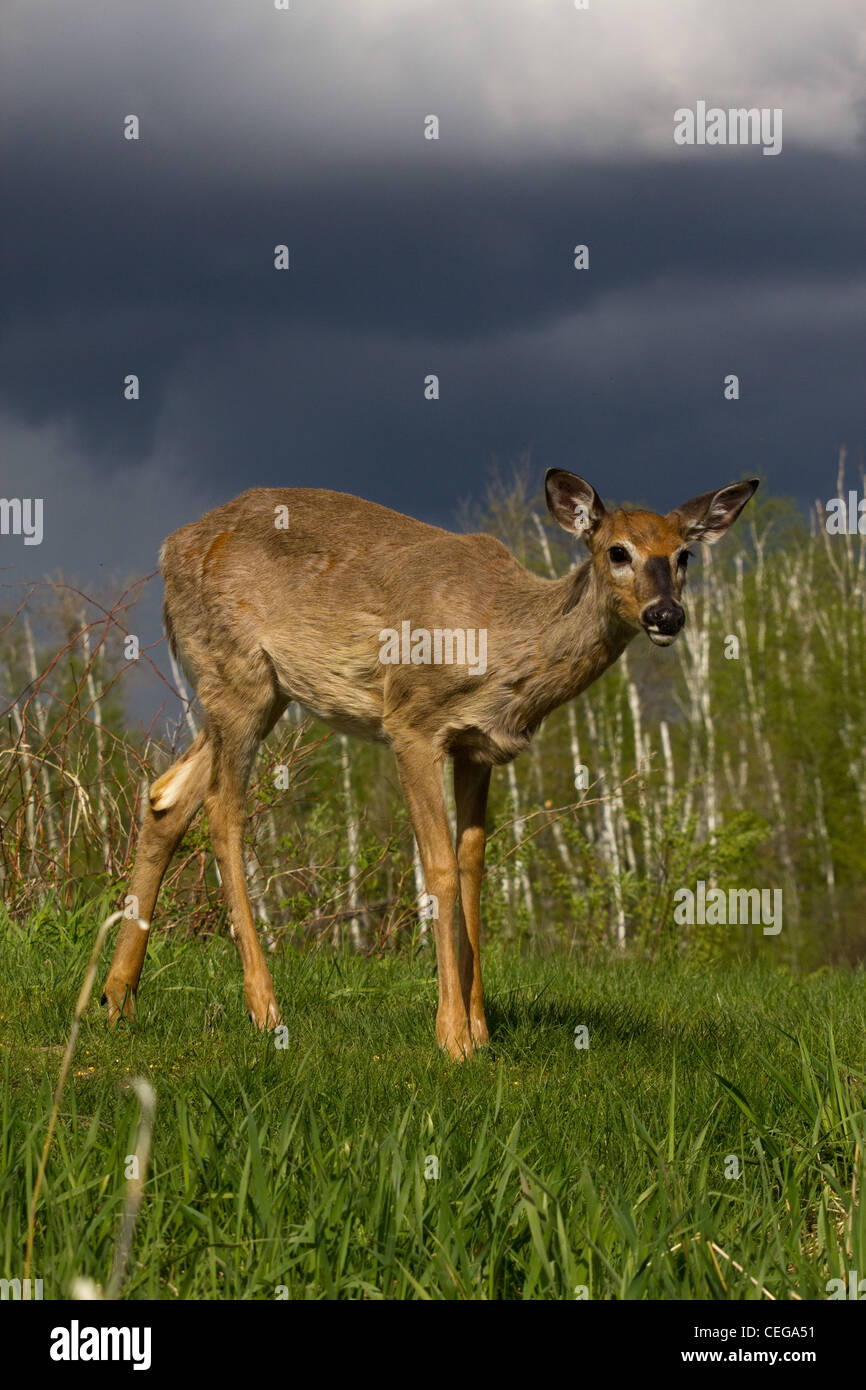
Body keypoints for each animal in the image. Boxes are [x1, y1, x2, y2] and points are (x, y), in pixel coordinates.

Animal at [102, 470, 758, 1059]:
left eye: (684, 555)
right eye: (618, 551)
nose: (666, 615)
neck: (501, 641)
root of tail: (171, 547)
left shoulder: (477, 746)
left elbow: (473, 869)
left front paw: (483, 1030)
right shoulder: (411, 720)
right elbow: (438, 867)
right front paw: (452, 1038)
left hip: (258, 694)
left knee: (165, 796)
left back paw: (117, 999)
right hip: (237, 671)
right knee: (223, 811)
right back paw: (265, 1008)